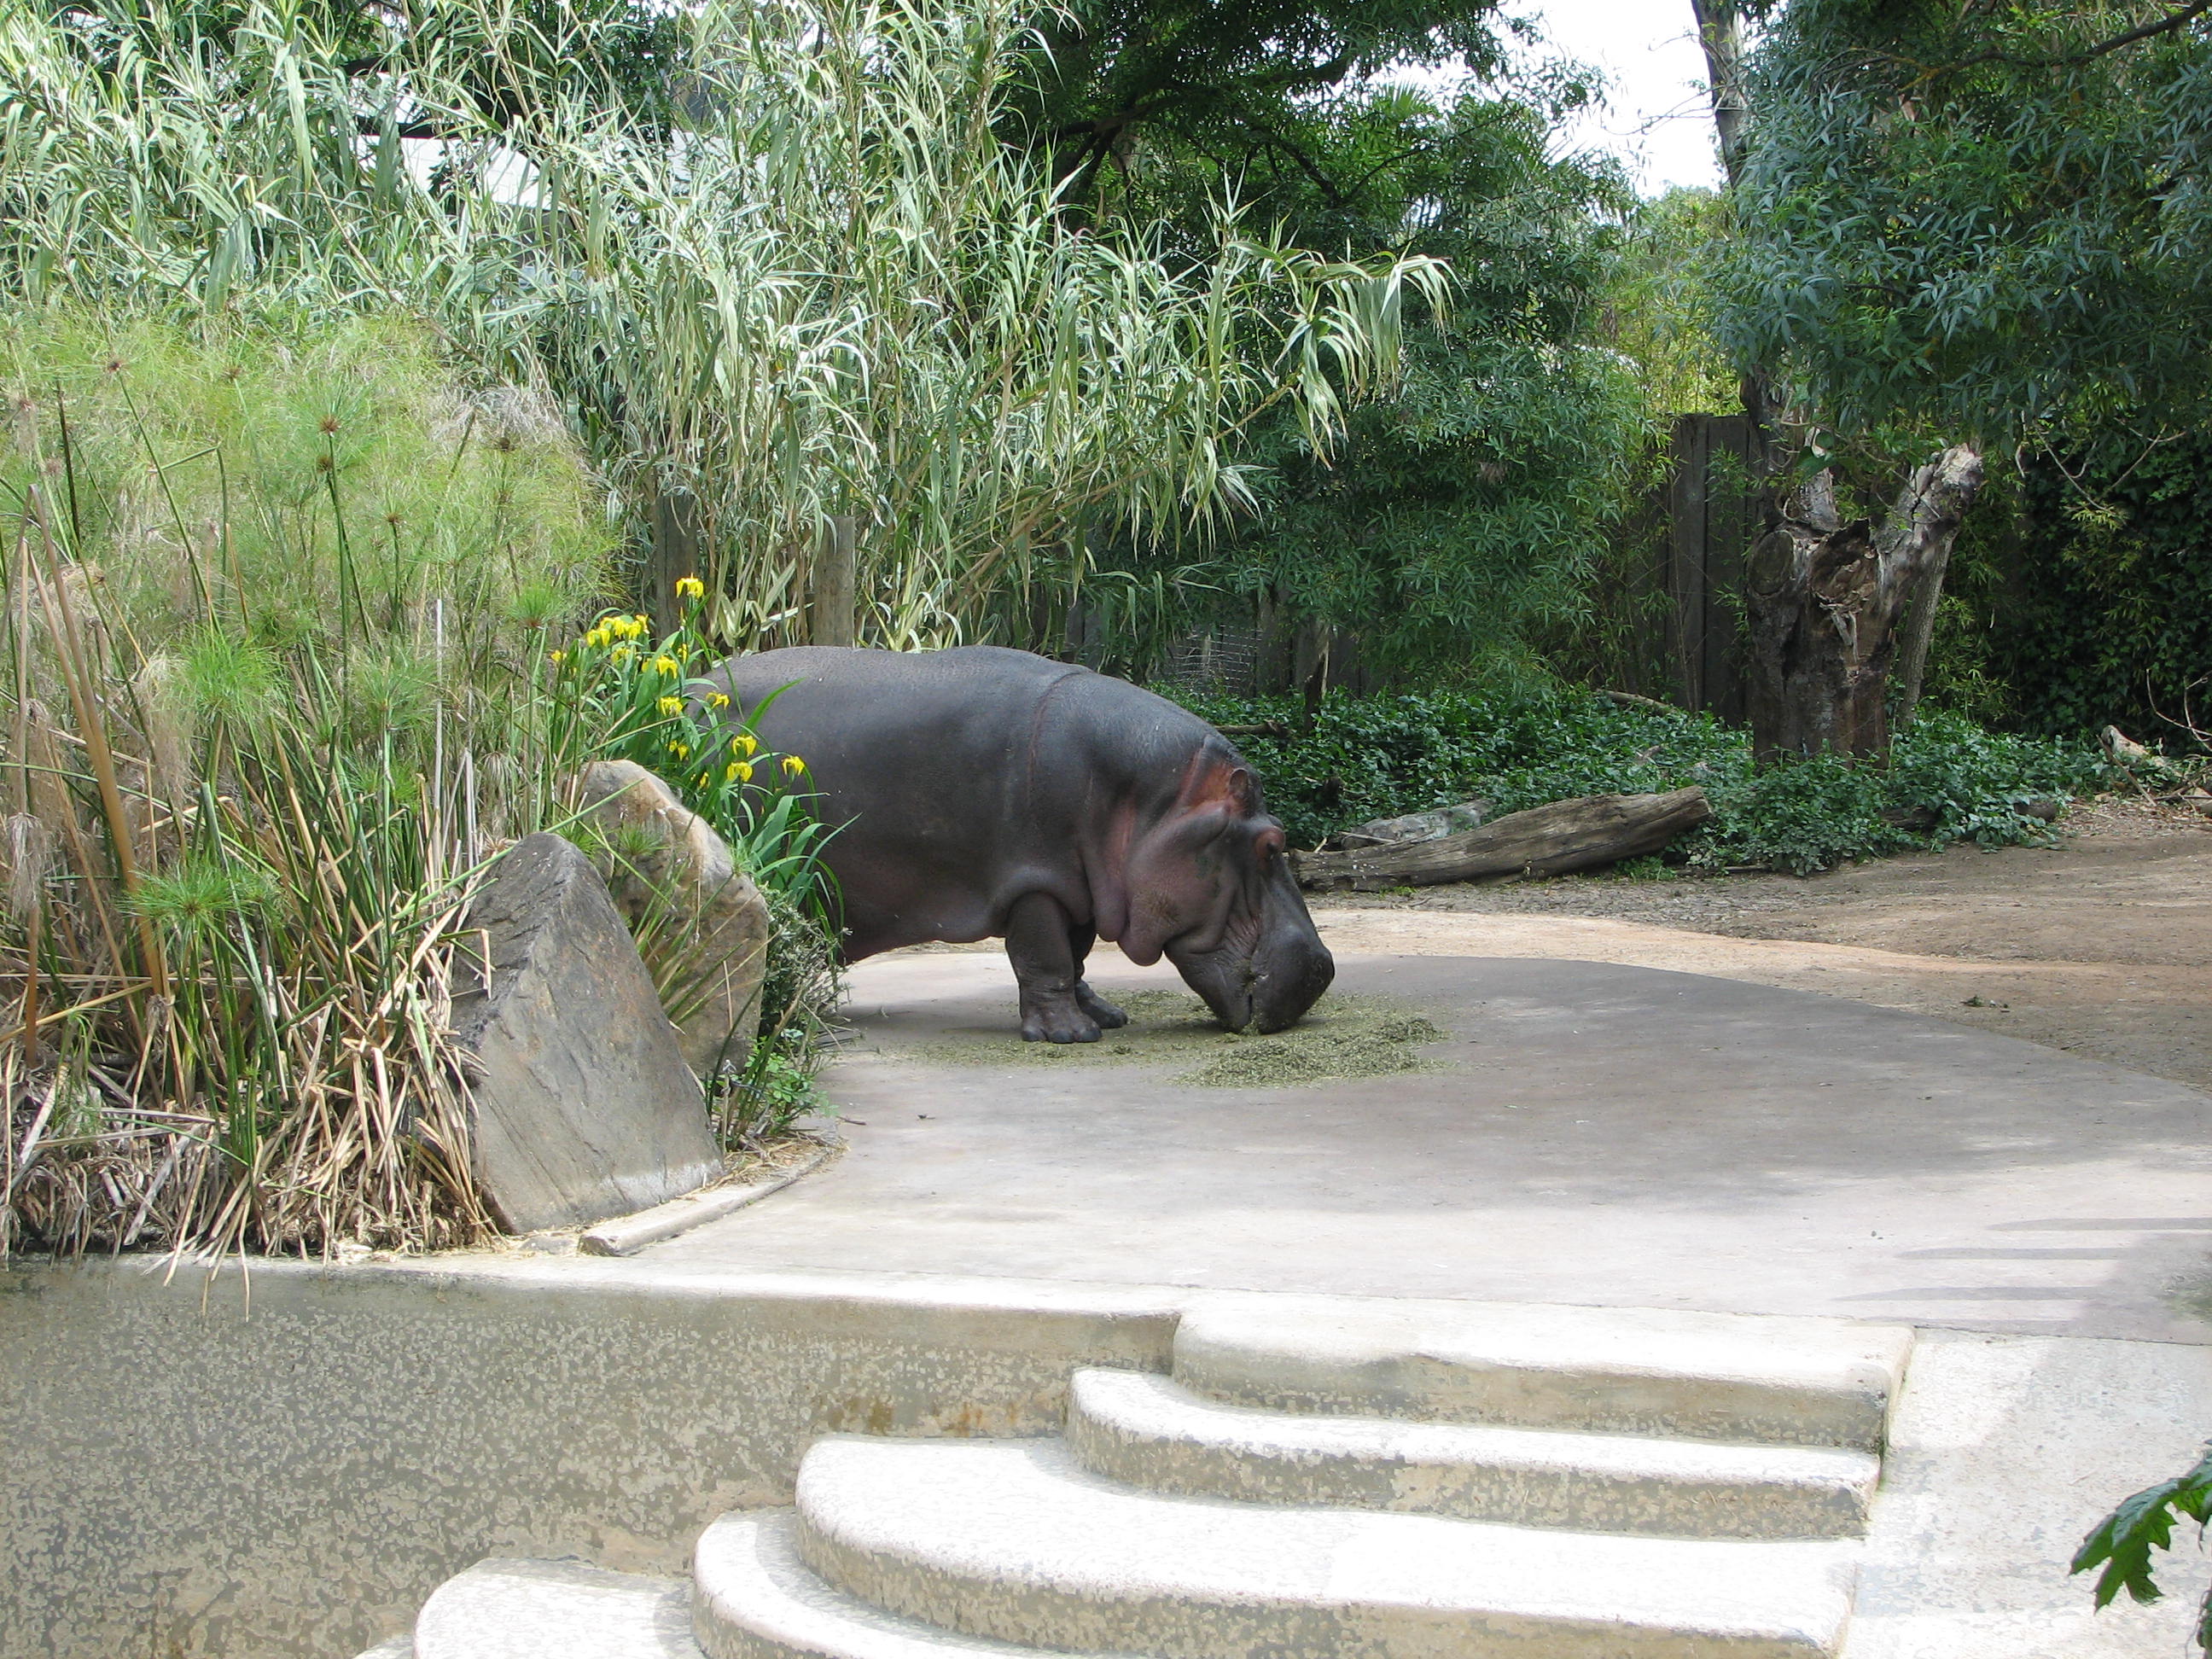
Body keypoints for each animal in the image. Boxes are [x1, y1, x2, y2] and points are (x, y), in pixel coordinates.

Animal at [703, 645, 1333, 1042]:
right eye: (1271, 845)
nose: (1324, 968)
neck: (1157, 801)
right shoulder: (1037, 879)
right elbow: (1045, 953)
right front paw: (1071, 1036)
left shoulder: (1082, 884)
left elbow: (1077, 955)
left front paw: (1107, 1016)